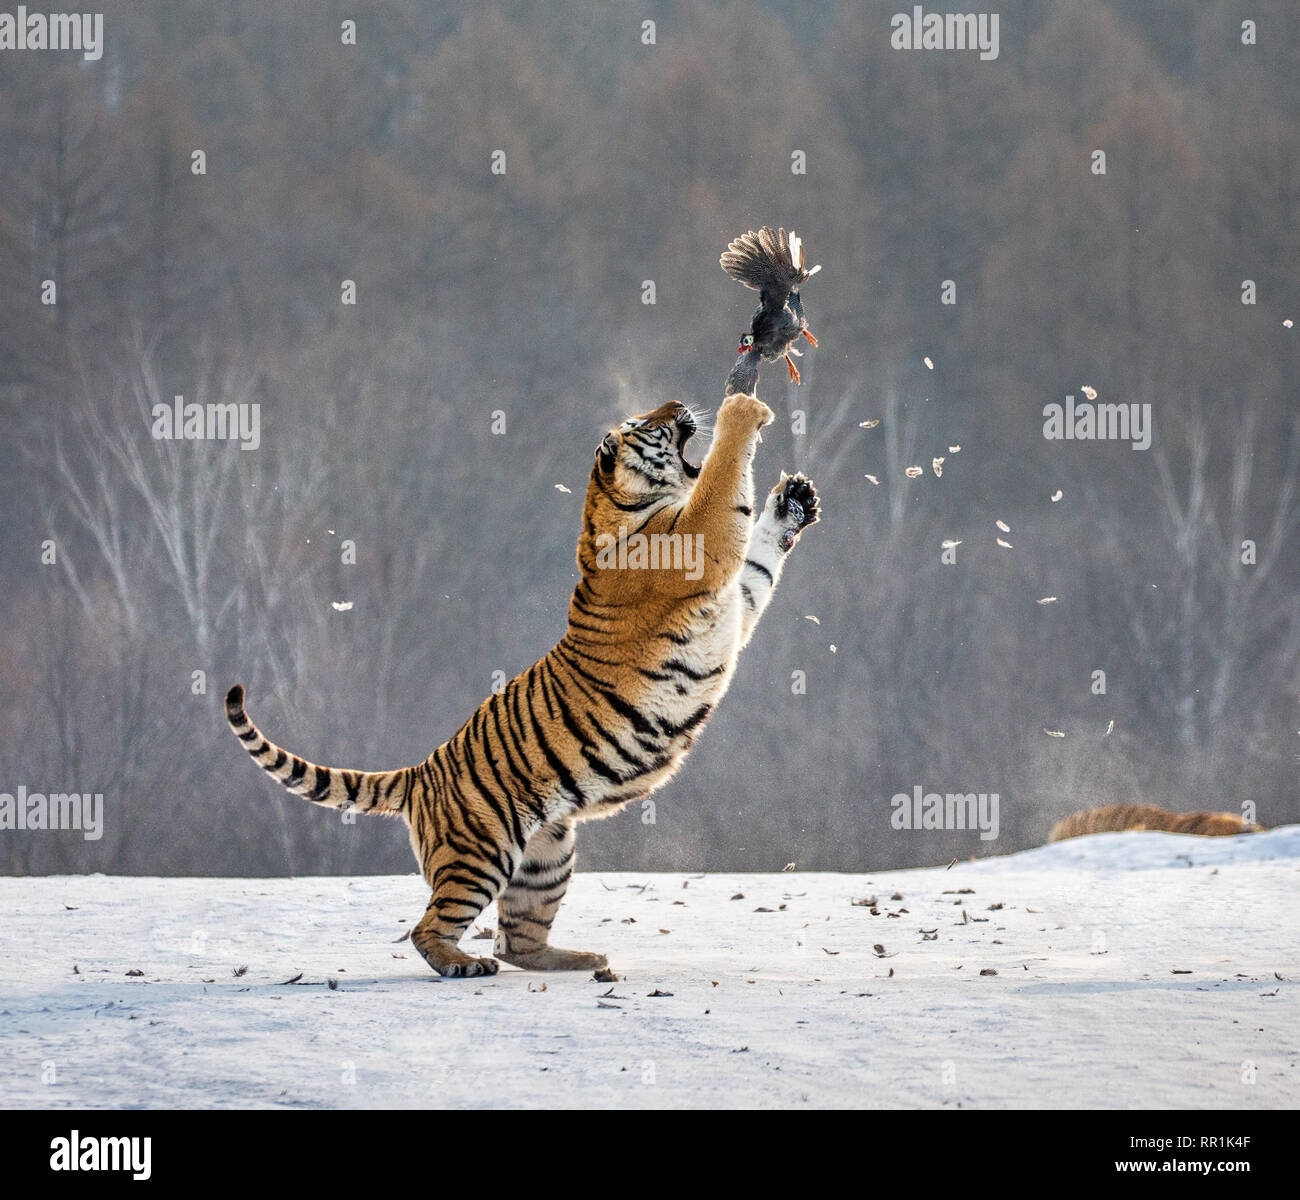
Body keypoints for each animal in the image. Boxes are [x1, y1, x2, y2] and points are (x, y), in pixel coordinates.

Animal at [225, 389, 819, 976]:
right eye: (643, 422)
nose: (676, 405)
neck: (621, 504)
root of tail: (420, 773)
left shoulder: (734, 603)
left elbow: (759, 563)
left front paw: (793, 501)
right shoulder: (701, 542)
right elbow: (723, 478)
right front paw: (742, 409)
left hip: (547, 856)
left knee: (517, 941)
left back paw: (576, 958)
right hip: (479, 855)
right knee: (430, 928)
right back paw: (462, 964)